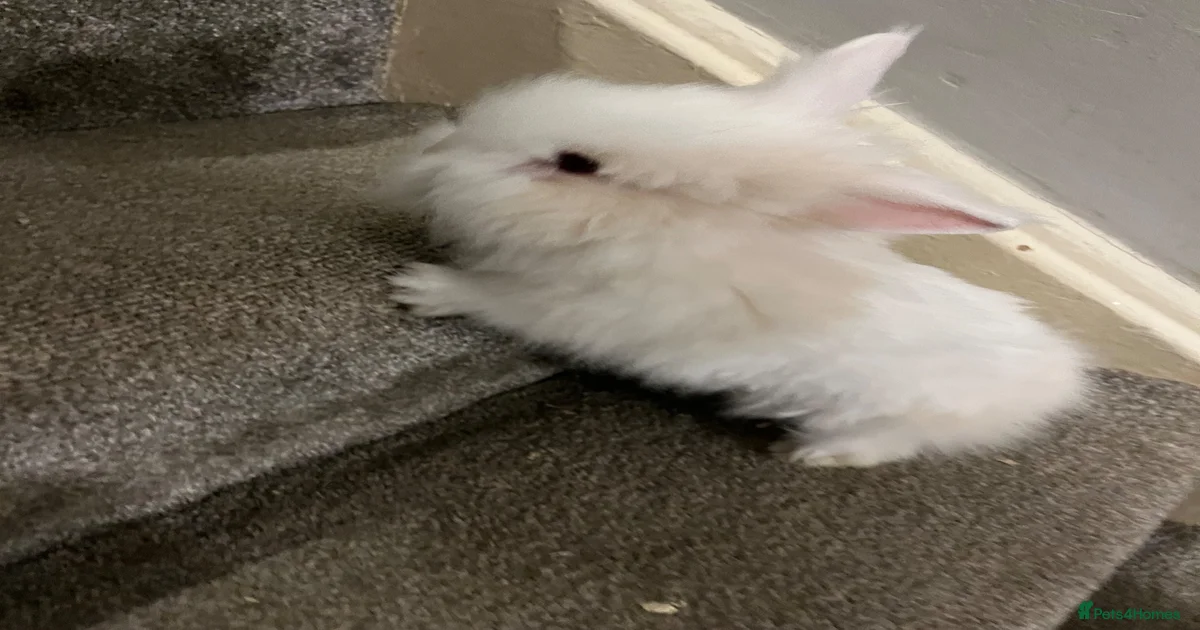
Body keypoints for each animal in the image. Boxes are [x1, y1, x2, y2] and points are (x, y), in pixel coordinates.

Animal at [380, 27, 1090, 467]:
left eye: (576, 164)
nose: (433, 154)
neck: (659, 227)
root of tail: (1060, 381)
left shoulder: (588, 314)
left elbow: (504, 303)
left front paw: (421, 288)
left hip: (893, 419)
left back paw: (810, 455)